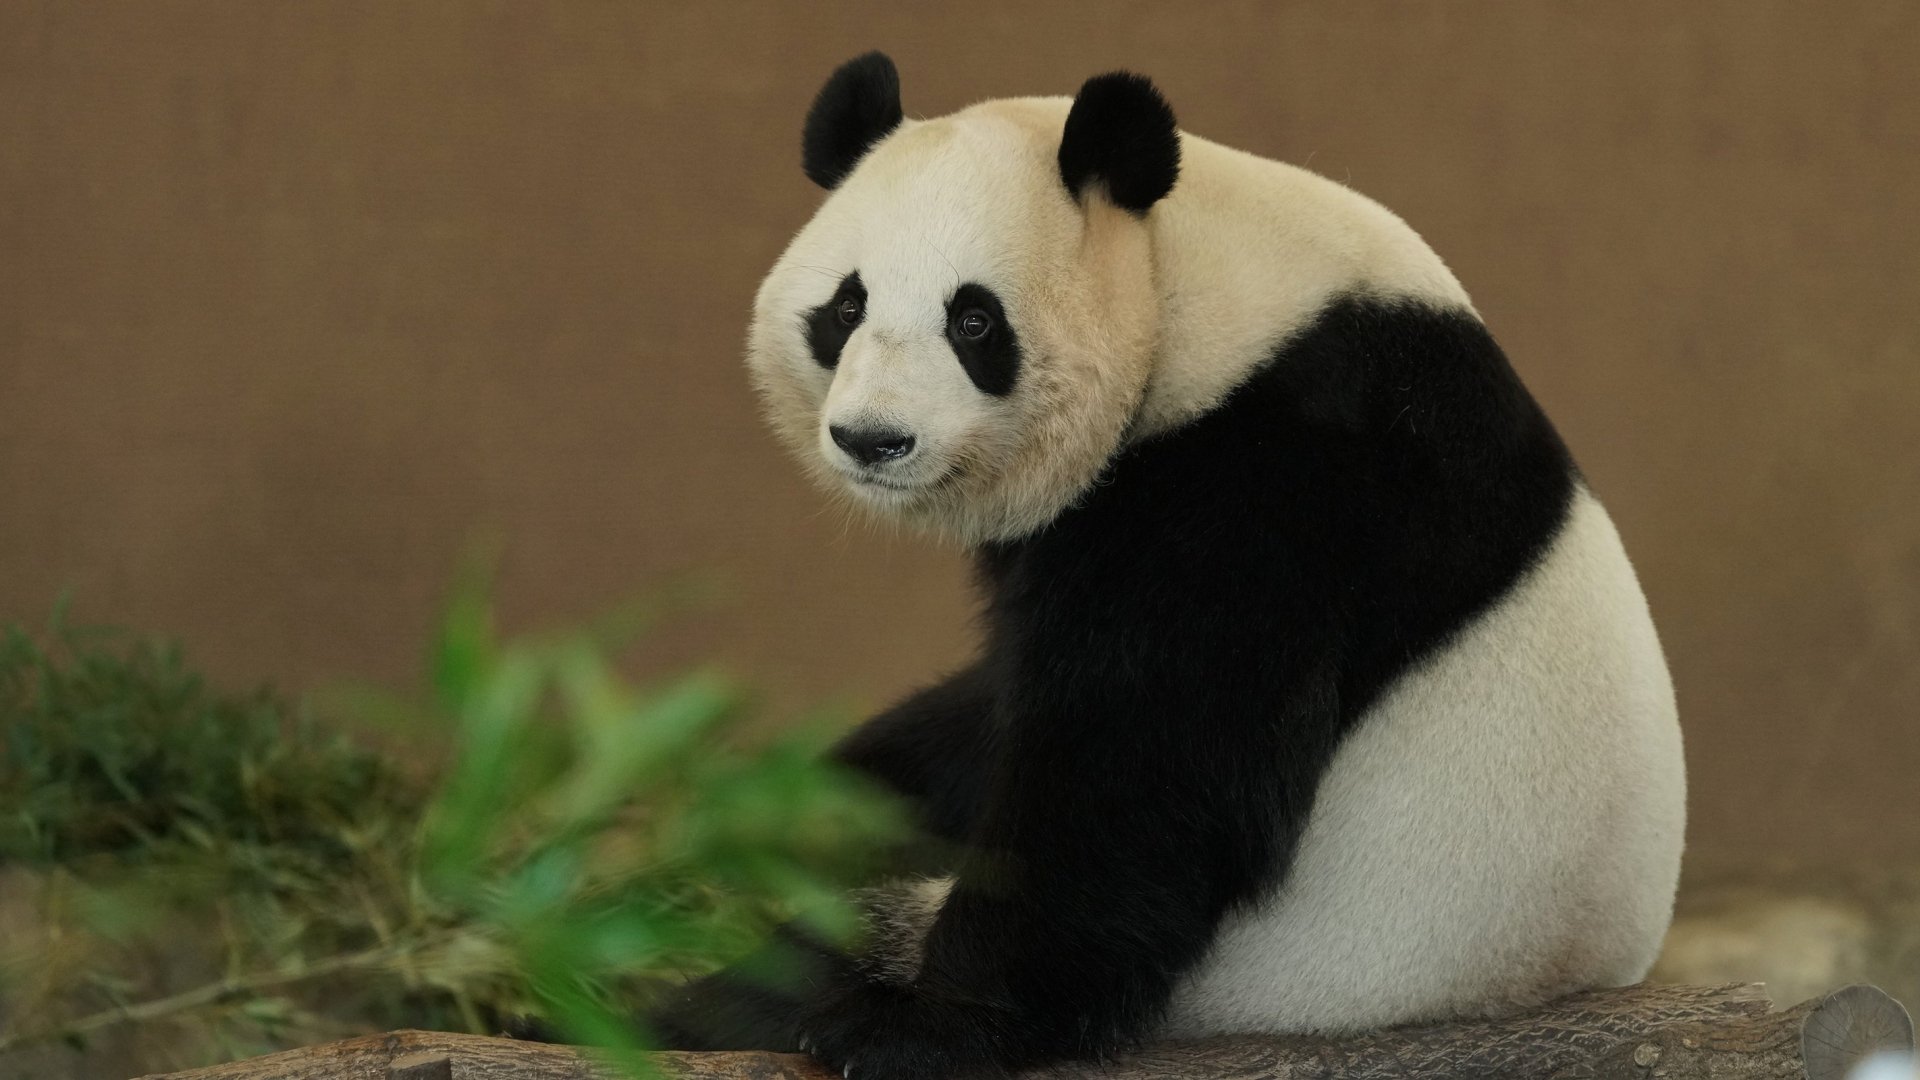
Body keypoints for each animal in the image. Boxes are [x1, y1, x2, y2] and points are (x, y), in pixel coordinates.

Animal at [651, 52, 1687, 1080]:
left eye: (975, 322)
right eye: (846, 306)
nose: (873, 440)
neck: (1190, 286)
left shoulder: (1283, 473)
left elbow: (1139, 769)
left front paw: (922, 1028)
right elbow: (996, 708)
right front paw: (769, 803)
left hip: (1283, 971)